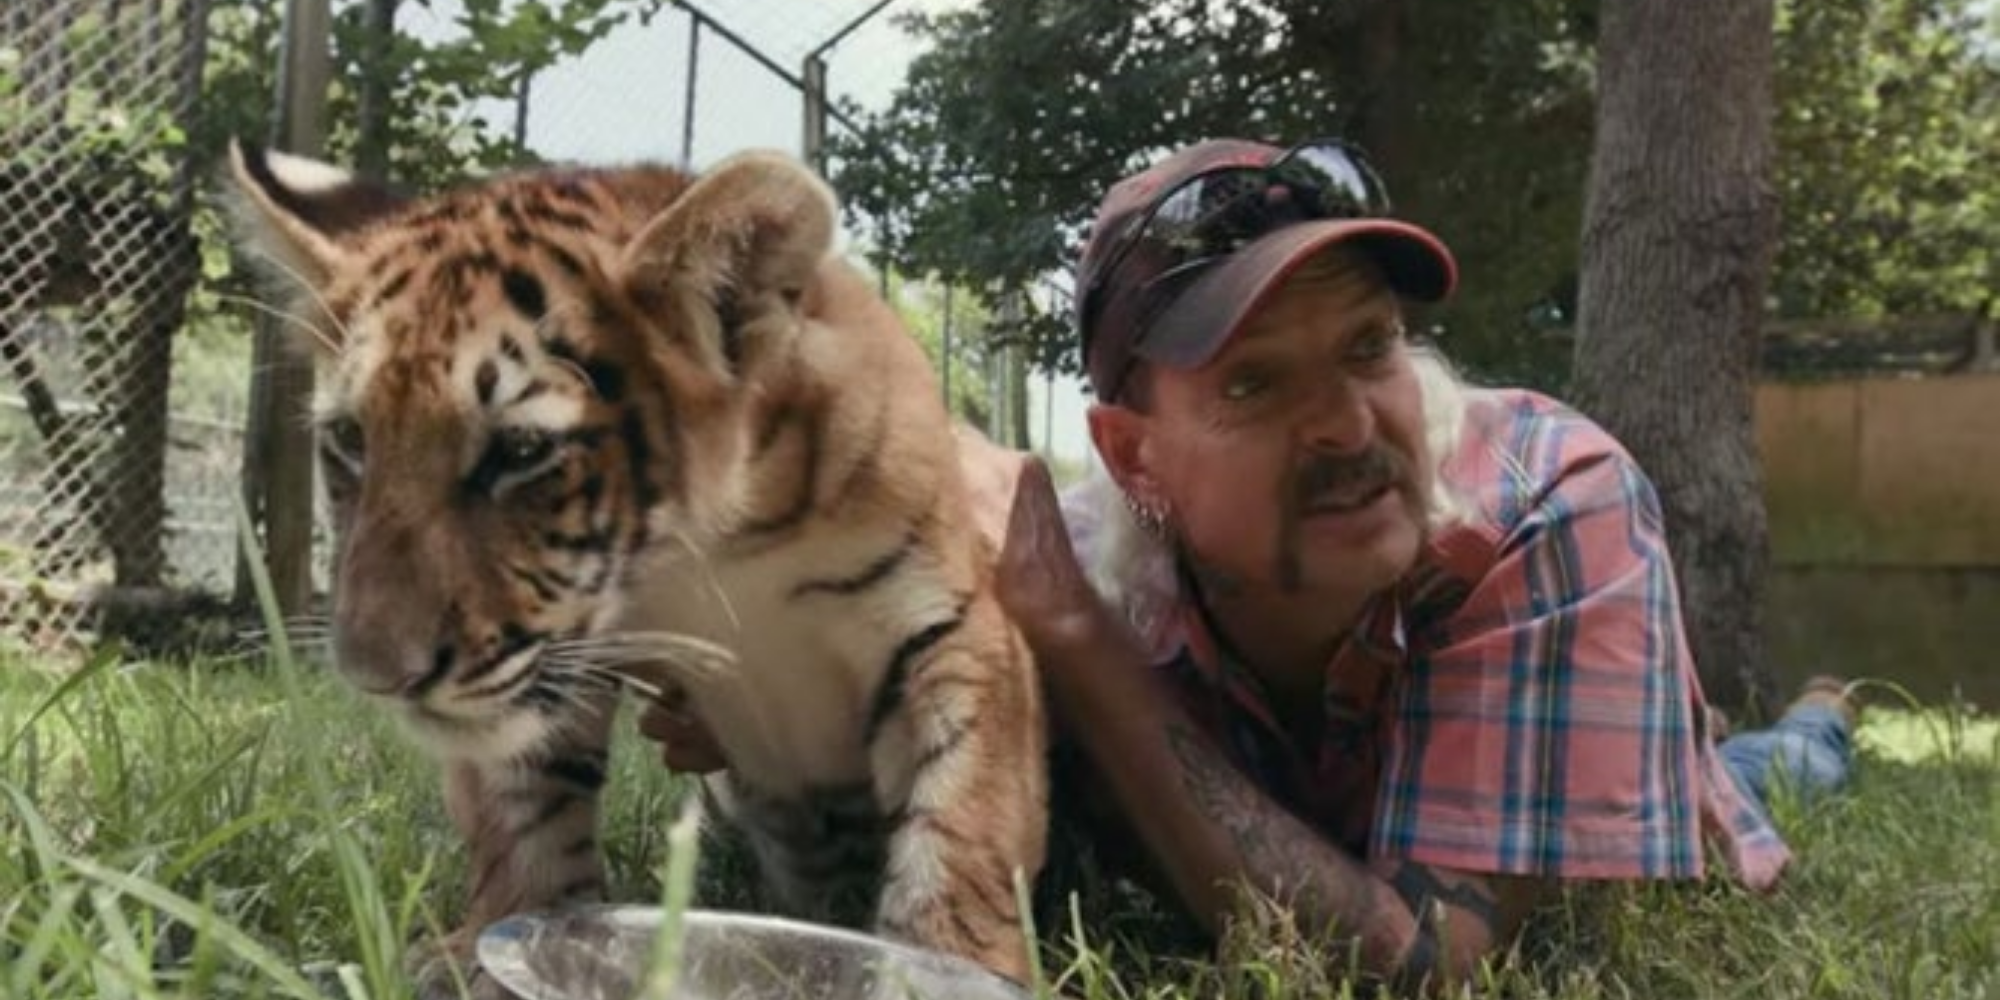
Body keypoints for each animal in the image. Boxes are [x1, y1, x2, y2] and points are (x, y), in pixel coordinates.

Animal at [225, 142, 1049, 991]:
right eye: (352, 439)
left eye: (520, 451)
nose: (376, 678)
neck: (708, 550)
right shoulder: (556, 657)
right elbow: (522, 811)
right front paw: (496, 941)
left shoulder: (957, 629)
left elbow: (962, 820)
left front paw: (949, 961)